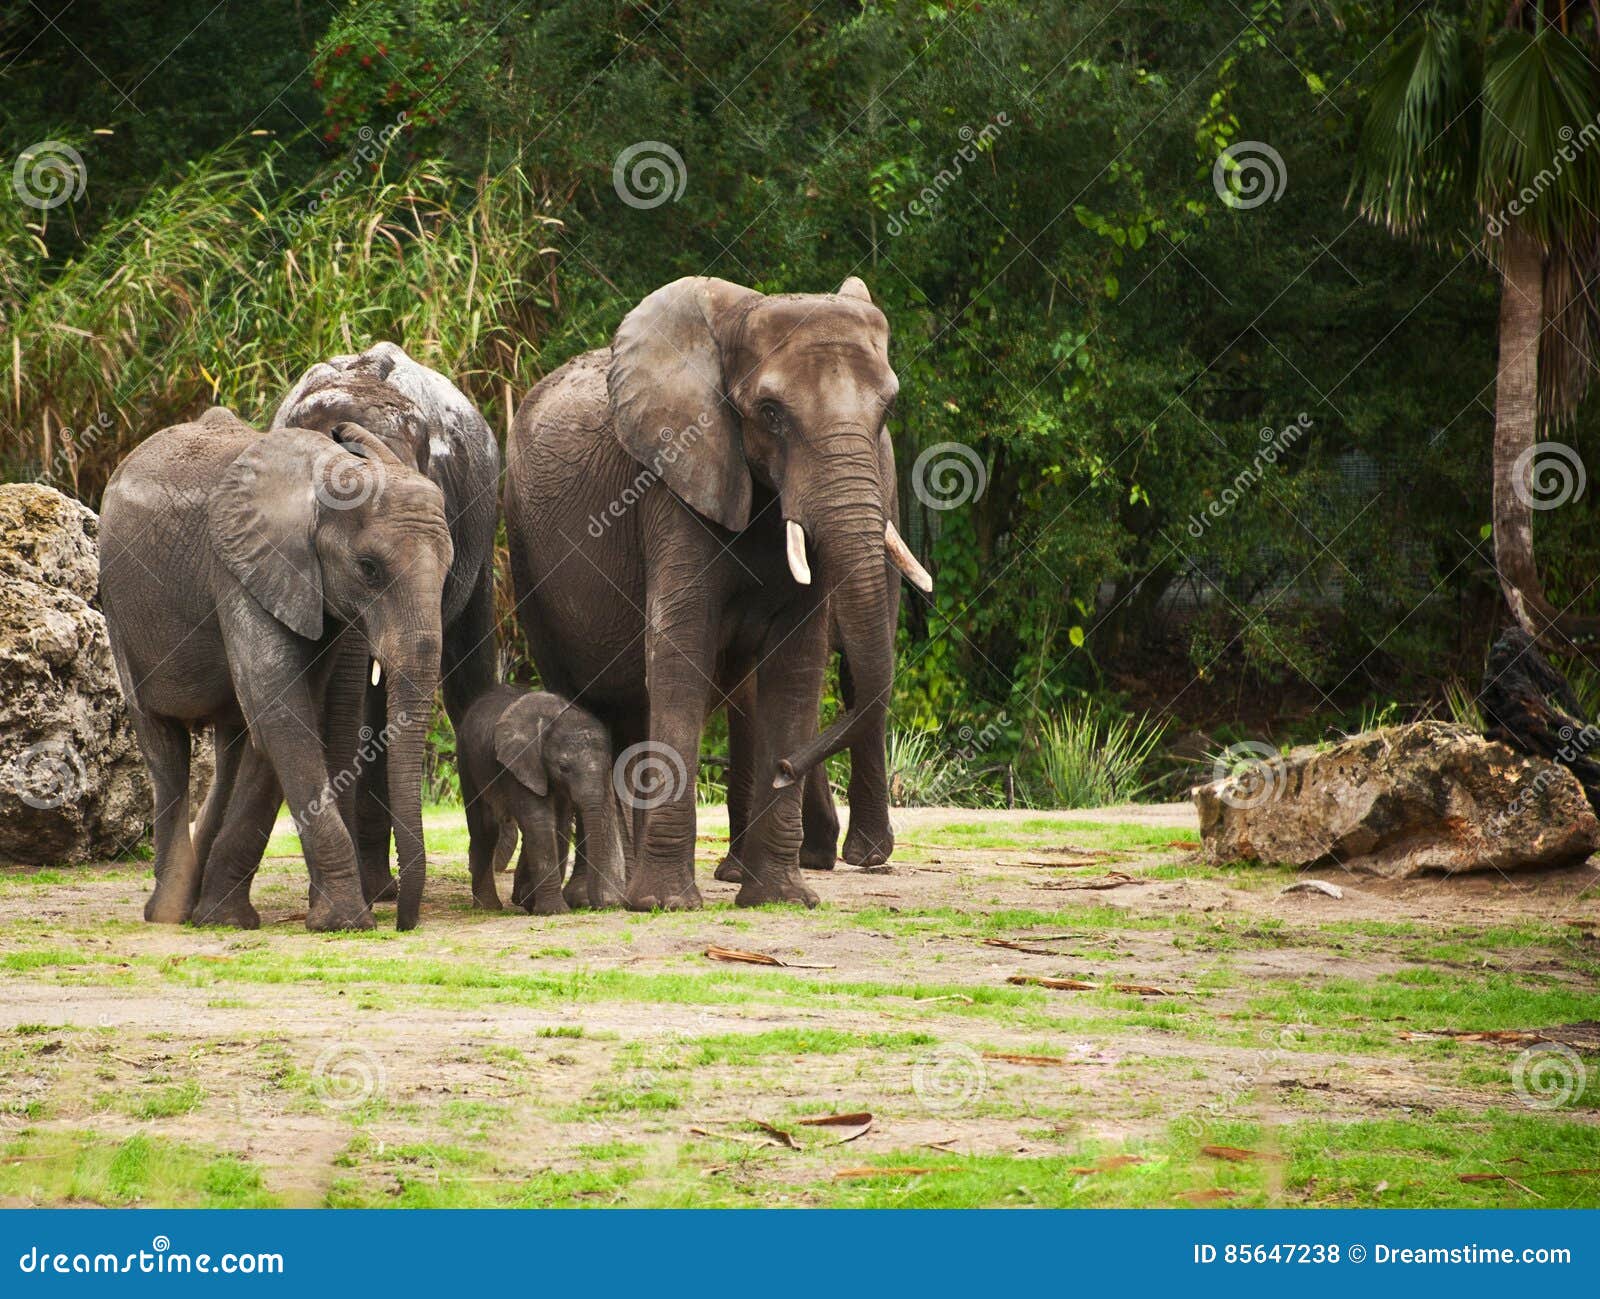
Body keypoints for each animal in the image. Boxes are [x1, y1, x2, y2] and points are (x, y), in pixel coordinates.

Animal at [99, 406, 453, 931]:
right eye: (369, 569)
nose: (401, 922)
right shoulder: (238, 567)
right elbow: (282, 712)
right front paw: (345, 923)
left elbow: (280, 722)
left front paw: (226, 919)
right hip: (119, 612)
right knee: (163, 747)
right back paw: (167, 914)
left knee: (233, 743)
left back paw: (194, 908)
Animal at [456, 685, 628, 914]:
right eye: (563, 767)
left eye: (609, 766)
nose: (598, 906)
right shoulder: (518, 764)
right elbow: (539, 820)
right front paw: (554, 910)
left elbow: (560, 823)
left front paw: (530, 901)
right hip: (466, 758)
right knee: (485, 826)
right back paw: (489, 907)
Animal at [504, 275, 930, 912]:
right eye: (771, 413)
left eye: (889, 409)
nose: (785, 768)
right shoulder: (673, 483)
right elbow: (682, 650)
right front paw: (664, 905)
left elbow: (795, 667)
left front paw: (778, 898)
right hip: (524, 552)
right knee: (582, 694)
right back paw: (604, 895)